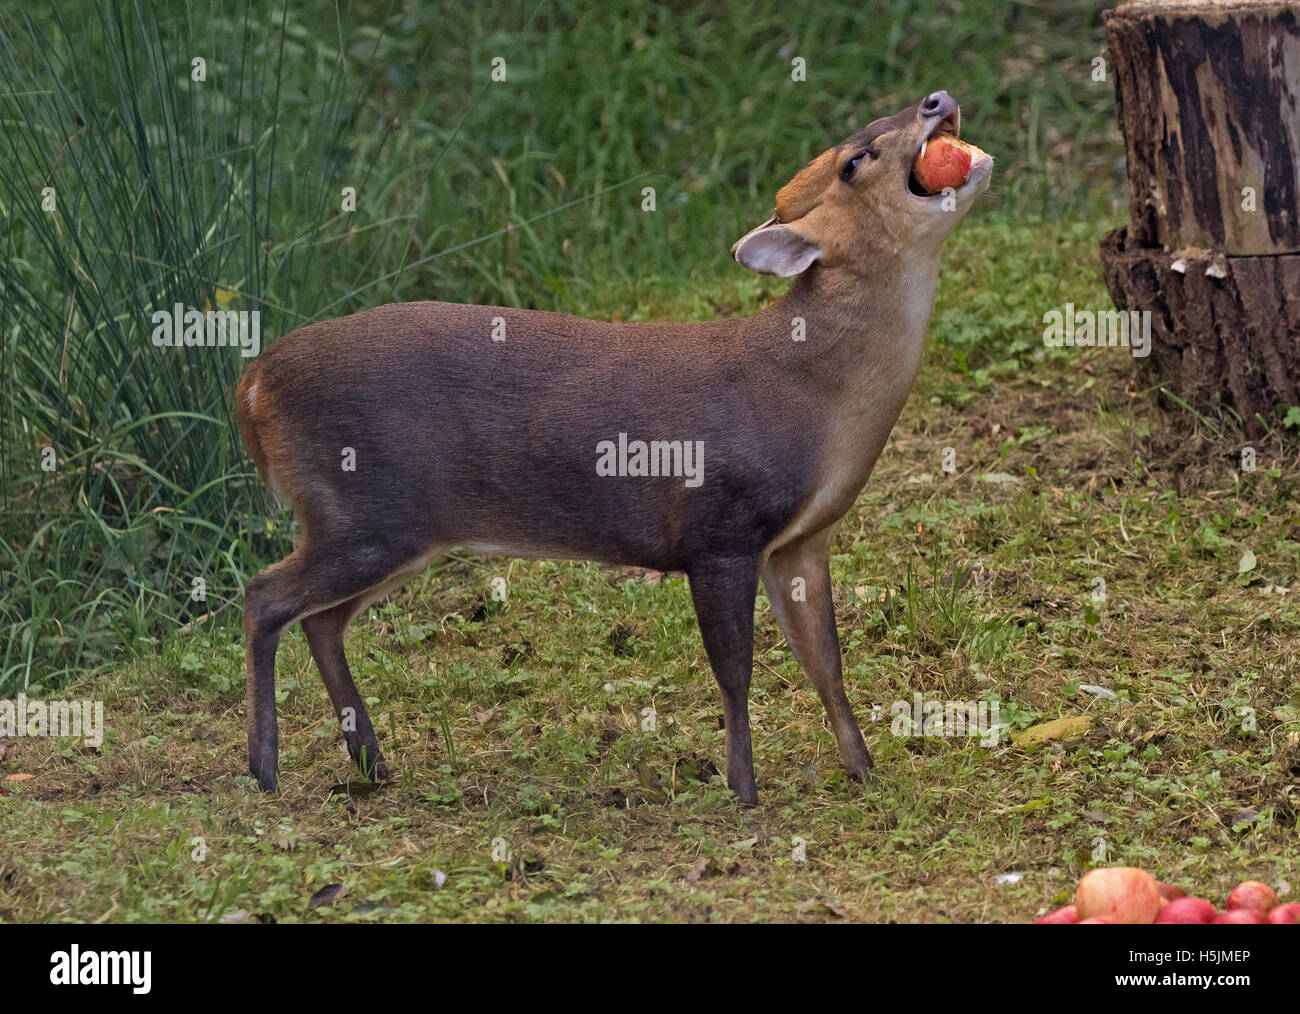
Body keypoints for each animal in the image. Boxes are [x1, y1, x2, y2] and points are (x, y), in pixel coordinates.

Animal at [236, 90, 992, 805]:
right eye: (854, 160)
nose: (936, 99)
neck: (815, 402)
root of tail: (251, 384)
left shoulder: (802, 540)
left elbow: (825, 661)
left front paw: (863, 770)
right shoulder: (718, 530)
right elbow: (736, 671)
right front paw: (744, 791)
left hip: (391, 529)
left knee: (321, 620)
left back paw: (371, 762)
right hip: (362, 509)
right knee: (264, 595)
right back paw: (265, 769)